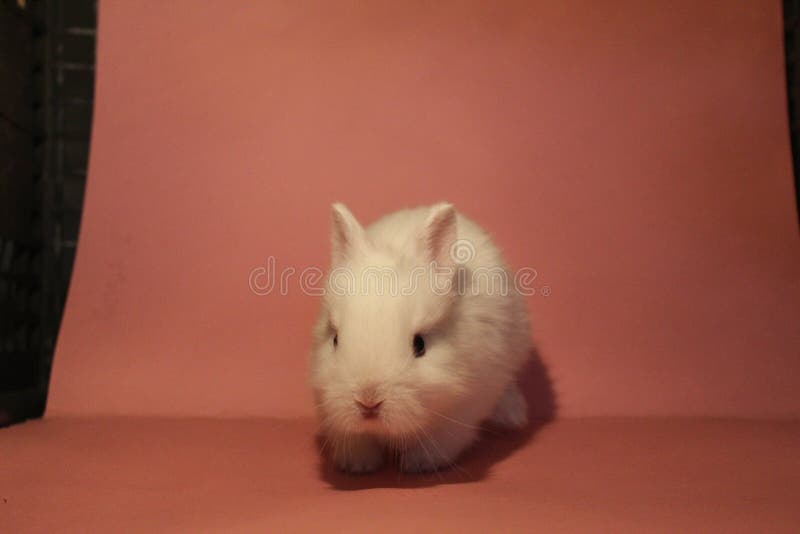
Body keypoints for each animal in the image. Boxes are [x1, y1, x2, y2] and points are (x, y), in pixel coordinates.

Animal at [310, 202, 533, 474]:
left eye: (420, 345)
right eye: (335, 340)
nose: (368, 402)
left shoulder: (465, 407)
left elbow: (442, 439)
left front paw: (419, 464)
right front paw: (358, 465)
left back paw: (515, 416)